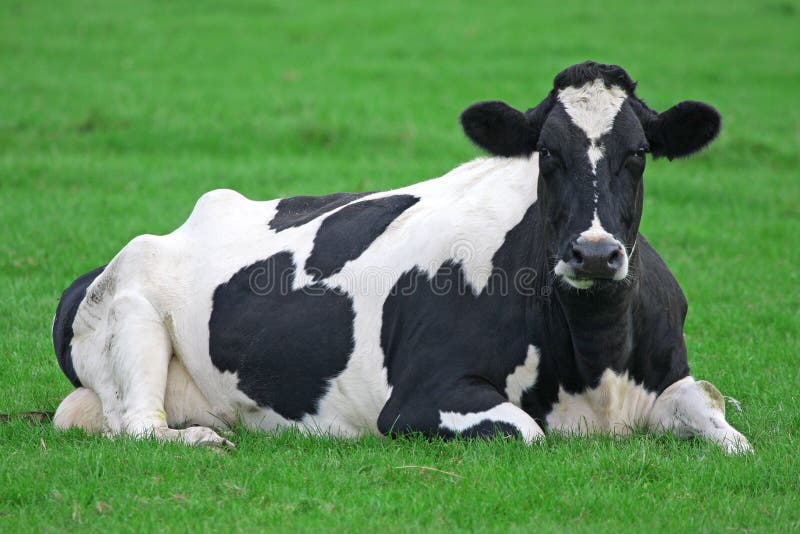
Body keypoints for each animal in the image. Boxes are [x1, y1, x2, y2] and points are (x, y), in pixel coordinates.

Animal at [52, 61, 751, 453]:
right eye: (547, 153)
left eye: (638, 153)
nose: (597, 254)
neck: (595, 359)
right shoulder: (421, 399)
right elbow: (527, 430)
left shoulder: (671, 379)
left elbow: (721, 416)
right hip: (132, 316)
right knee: (140, 426)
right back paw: (202, 439)